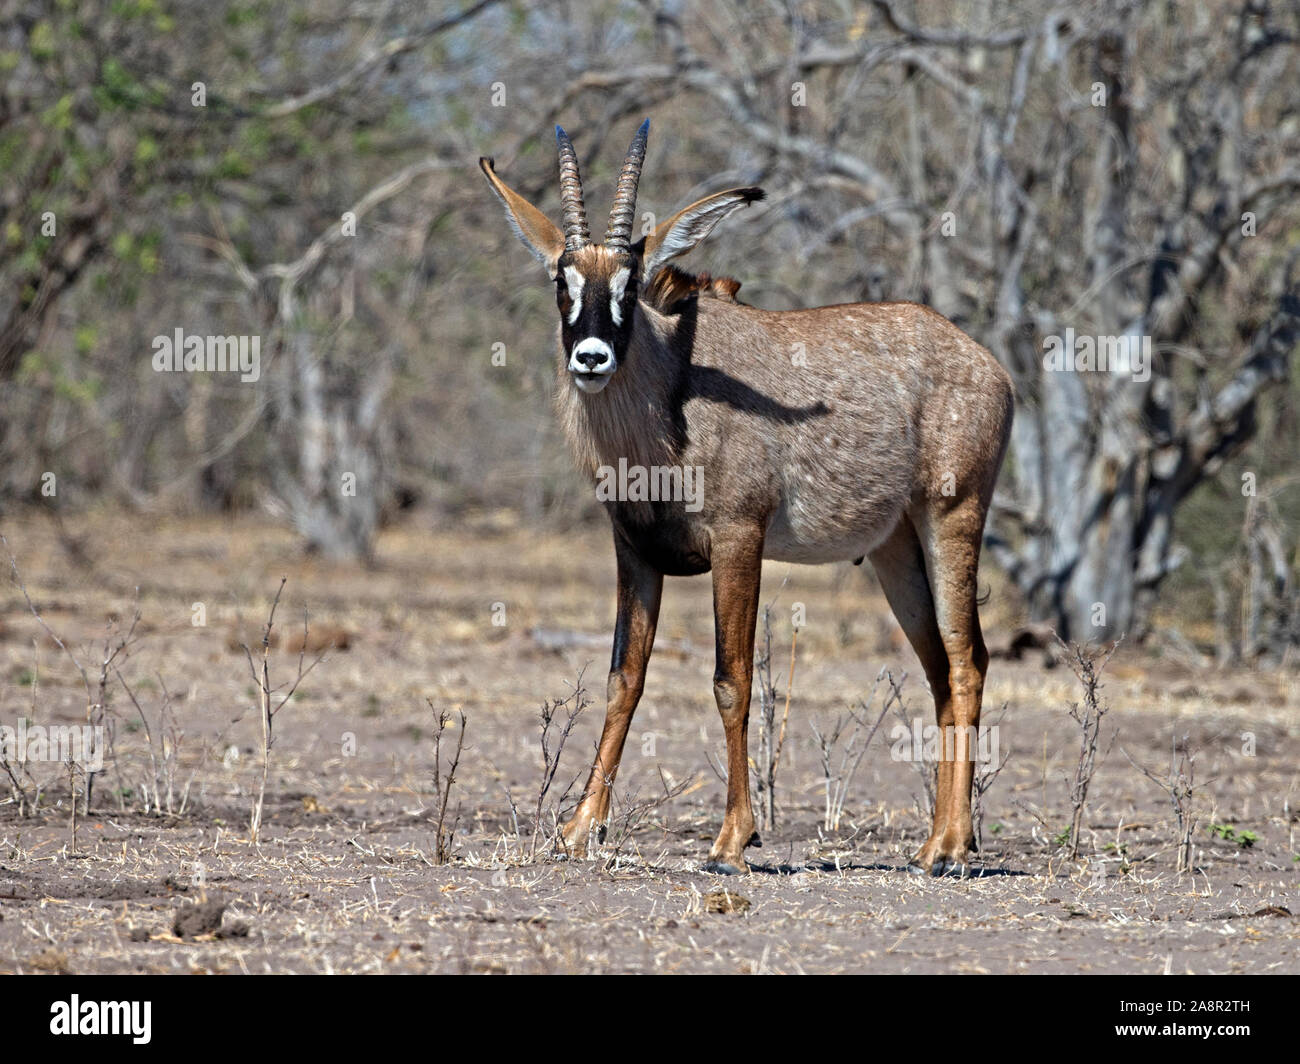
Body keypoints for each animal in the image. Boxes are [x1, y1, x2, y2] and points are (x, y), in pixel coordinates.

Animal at [481, 120, 1014, 876]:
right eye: (562, 279)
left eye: (630, 284)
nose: (591, 358)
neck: (674, 388)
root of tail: (988, 365)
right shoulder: (634, 551)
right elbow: (624, 679)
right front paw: (581, 827)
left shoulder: (738, 539)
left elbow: (730, 681)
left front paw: (733, 839)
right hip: (896, 551)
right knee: (940, 668)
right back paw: (934, 841)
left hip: (953, 517)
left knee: (968, 662)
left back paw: (954, 848)